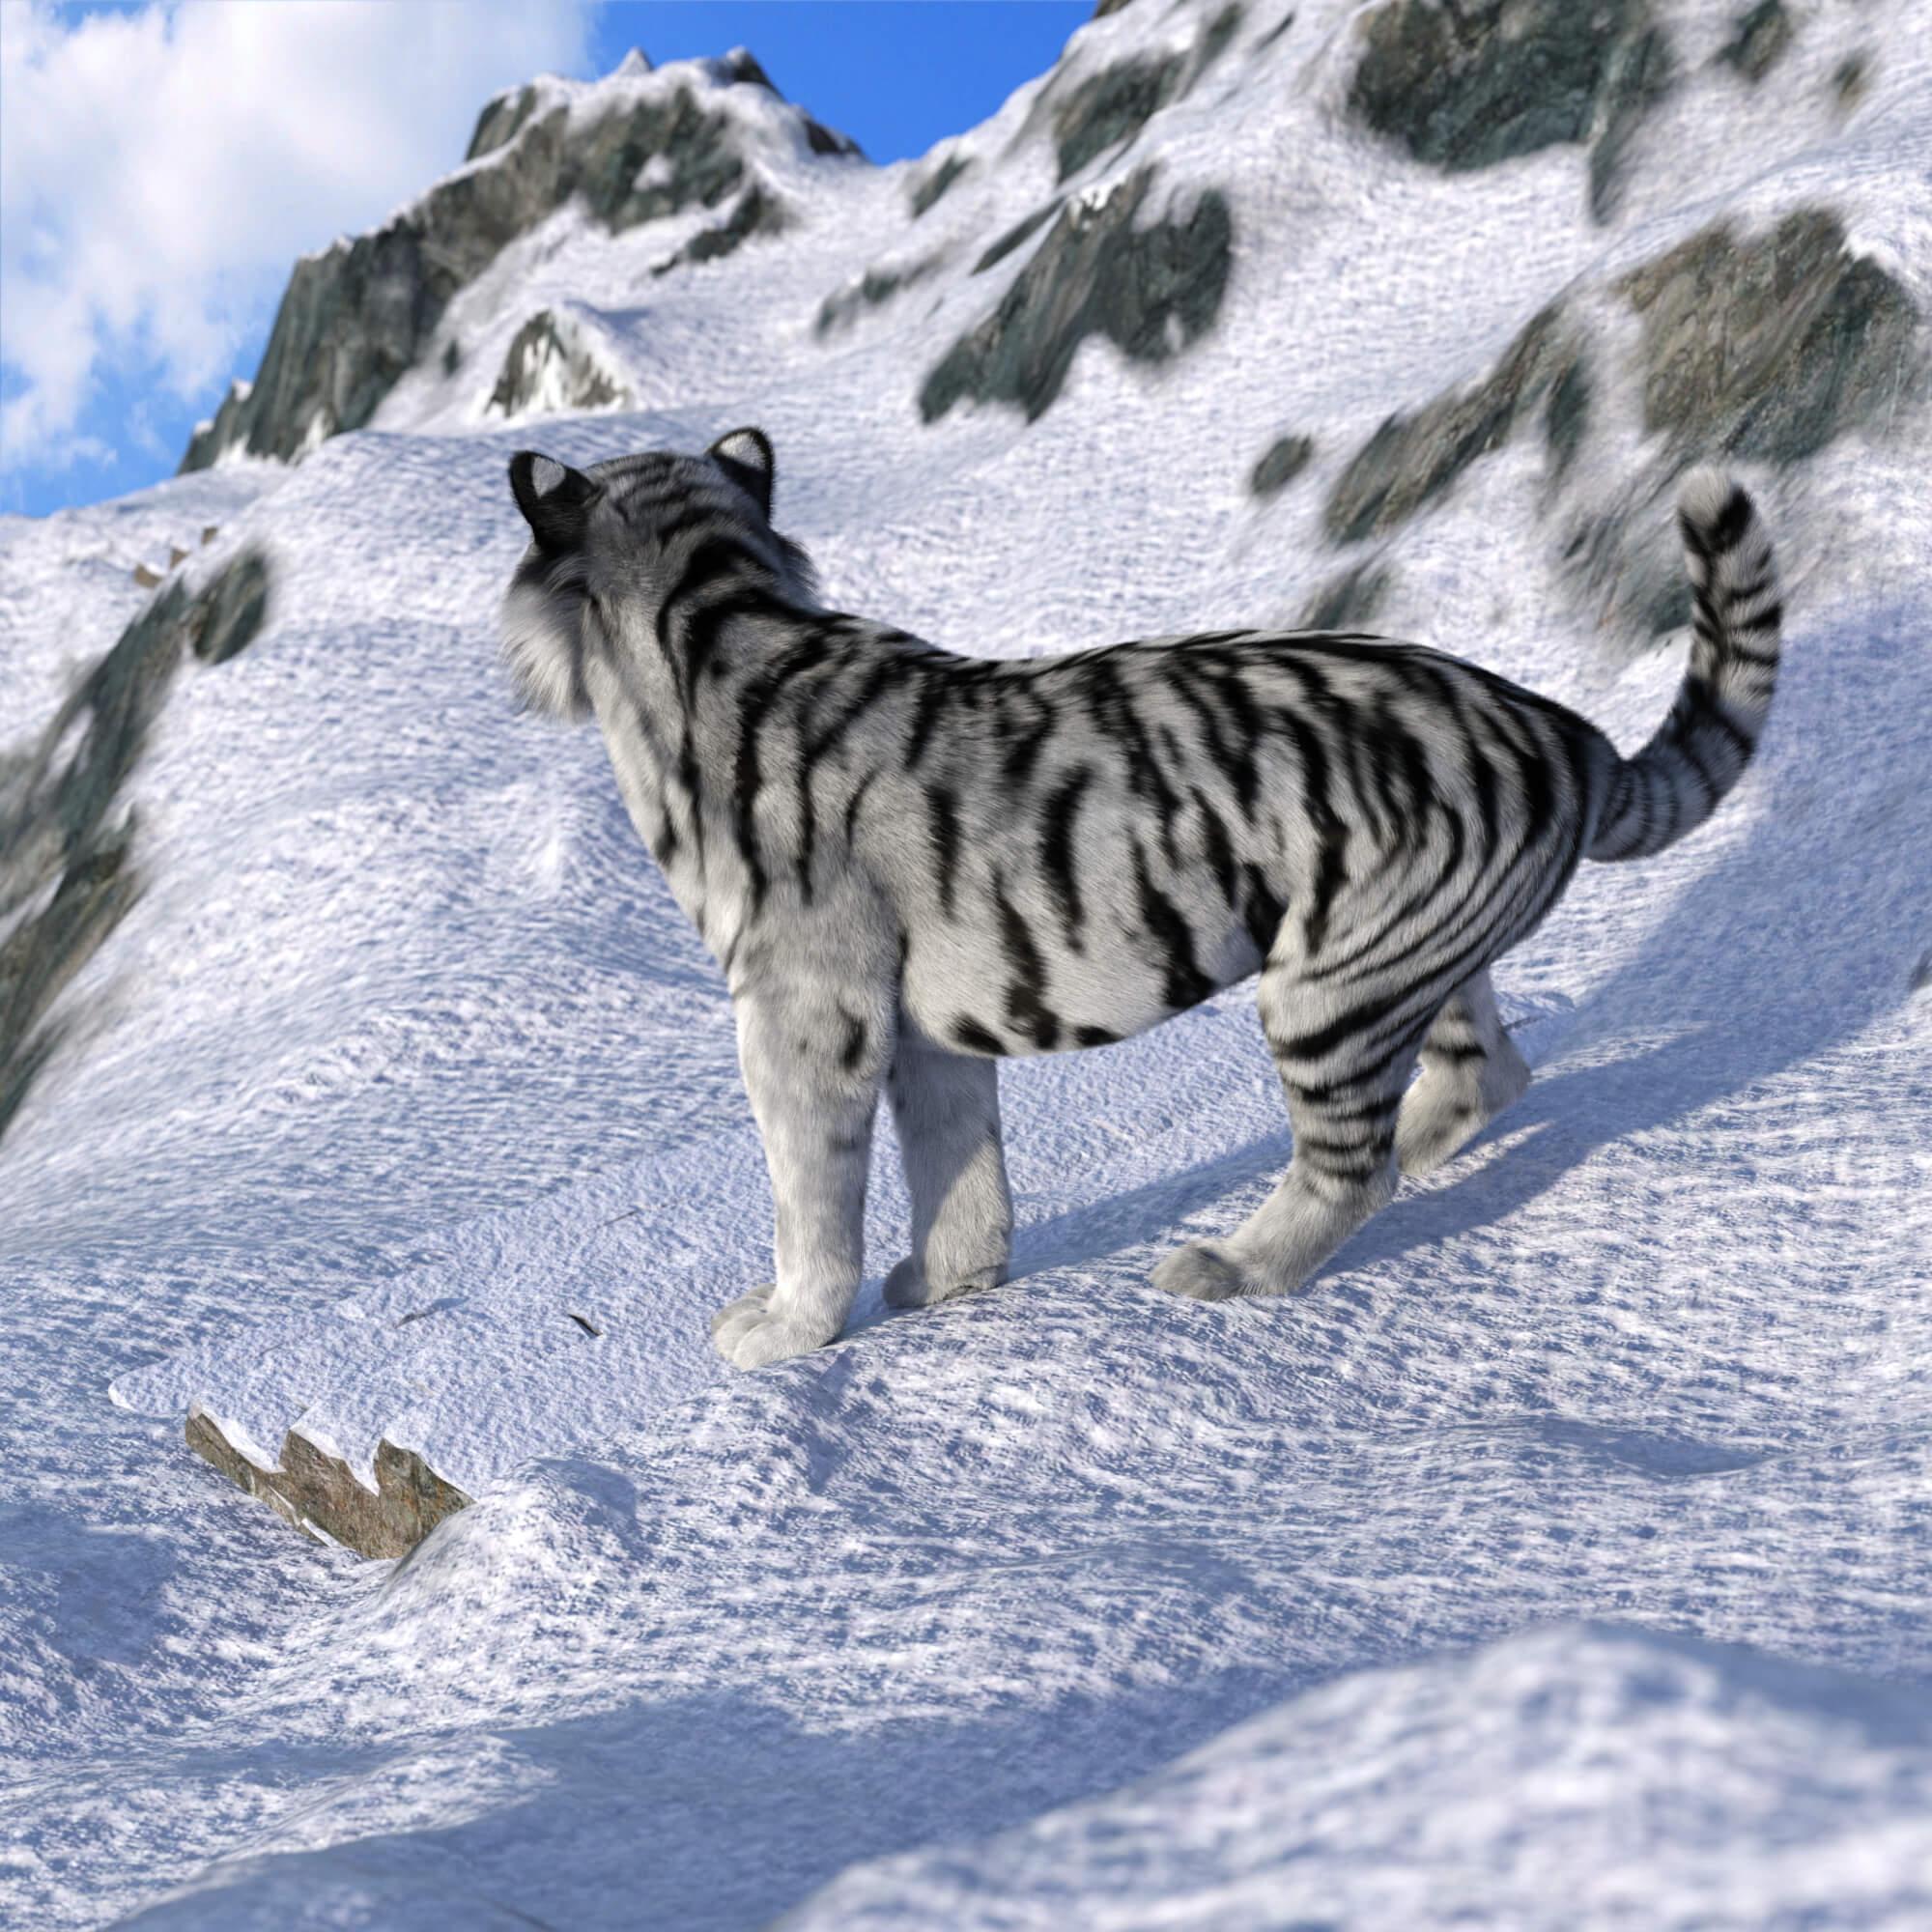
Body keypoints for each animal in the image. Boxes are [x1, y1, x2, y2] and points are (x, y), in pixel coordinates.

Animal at [500, 428, 1780, 1368]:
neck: (714, 606)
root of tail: (1563, 731)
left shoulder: (803, 1012)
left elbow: (807, 1190)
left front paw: (783, 1330)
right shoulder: (925, 1024)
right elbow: (957, 1161)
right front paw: (951, 1287)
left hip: (1323, 986)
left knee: (1347, 1164)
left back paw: (1228, 1267)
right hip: (1415, 953)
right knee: (1486, 1072)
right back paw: (1418, 1155)